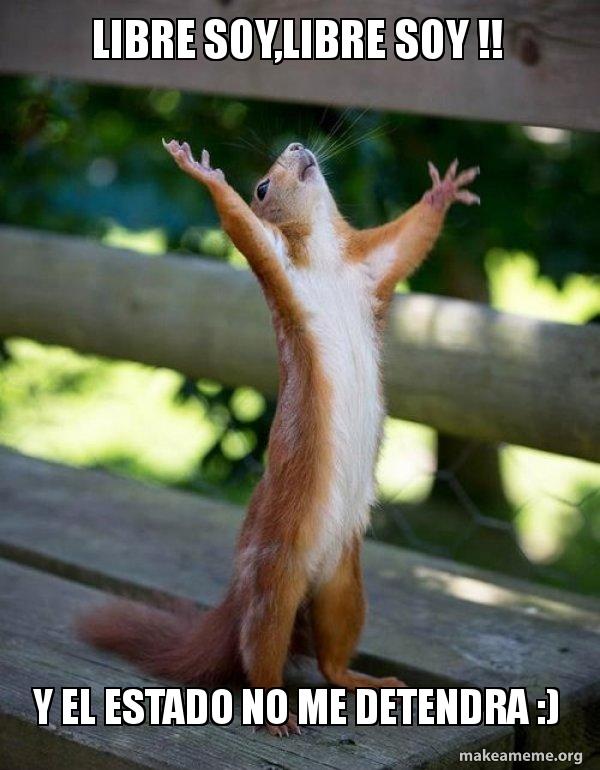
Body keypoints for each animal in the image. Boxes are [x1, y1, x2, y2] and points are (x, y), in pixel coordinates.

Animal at [79, 138, 479, 736]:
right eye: (262, 186)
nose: (296, 146)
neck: (327, 259)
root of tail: (241, 593)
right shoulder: (278, 266)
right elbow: (242, 227)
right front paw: (204, 173)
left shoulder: (371, 267)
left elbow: (408, 241)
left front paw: (443, 191)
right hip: (275, 579)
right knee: (259, 651)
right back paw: (276, 713)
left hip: (344, 585)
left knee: (332, 655)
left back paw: (363, 680)